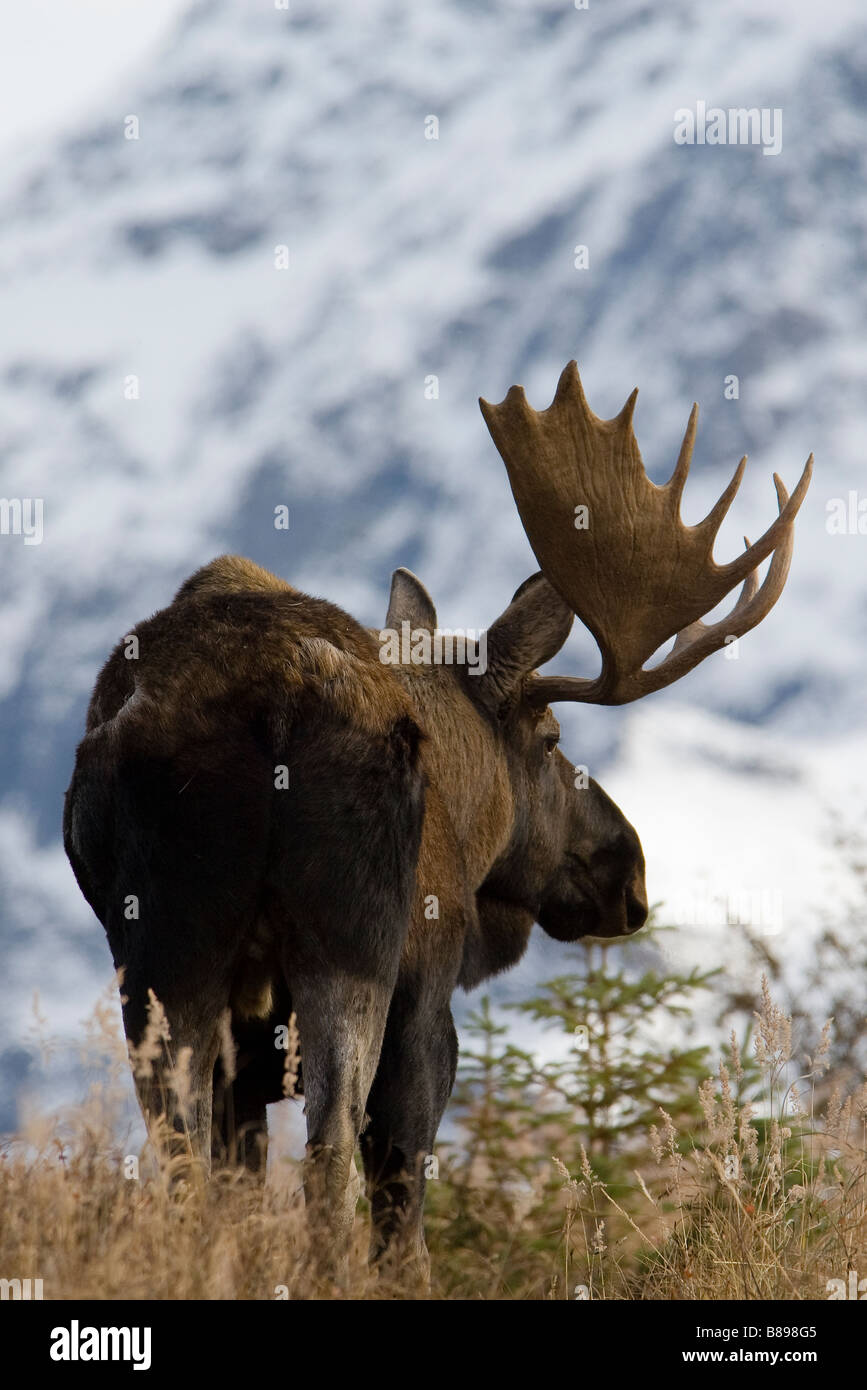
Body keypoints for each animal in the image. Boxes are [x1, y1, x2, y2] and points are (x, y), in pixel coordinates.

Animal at [63, 362, 812, 1282]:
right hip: (352, 948)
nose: (627, 873)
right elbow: (399, 1195)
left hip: (165, 954)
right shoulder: (429, 997)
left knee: (182, 1157)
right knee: (333, 1160)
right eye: (552, 740)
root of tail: (276, 700)